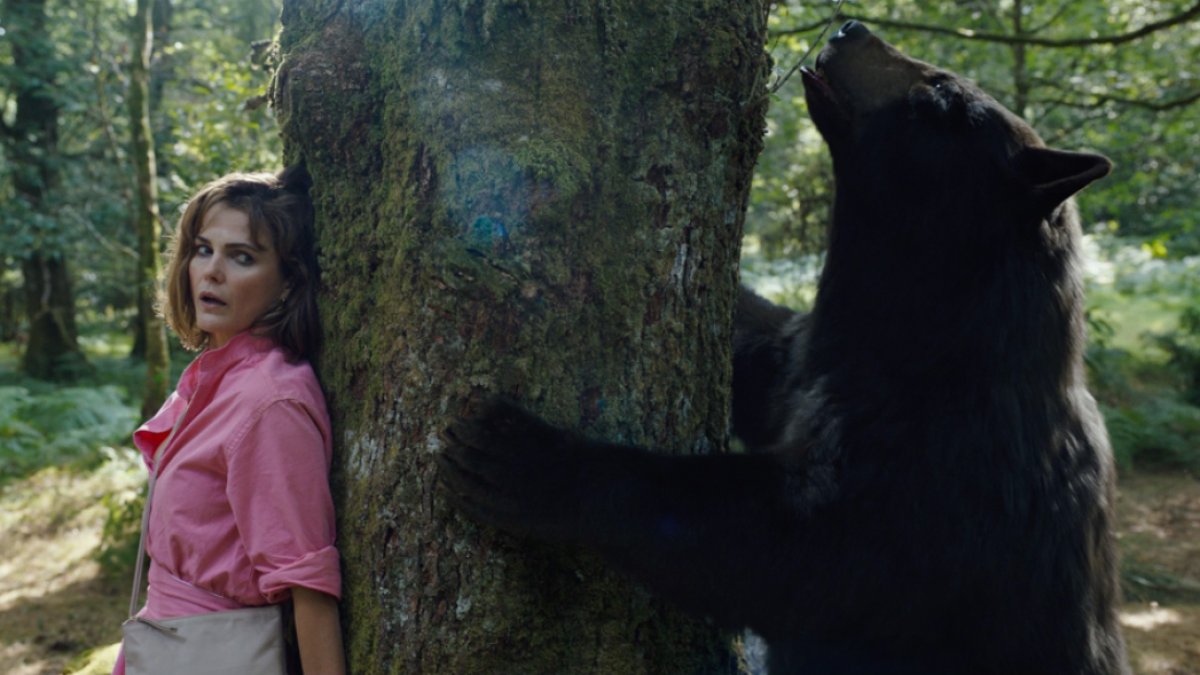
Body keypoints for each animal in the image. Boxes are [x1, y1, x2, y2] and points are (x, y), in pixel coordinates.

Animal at [440, 20, 1129, 675]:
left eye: (941, 96)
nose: (851, 27)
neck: (921, 343)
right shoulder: (809, 361)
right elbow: (759, 353)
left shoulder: (944, 476)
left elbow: (784, 551)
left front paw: (528, 458)